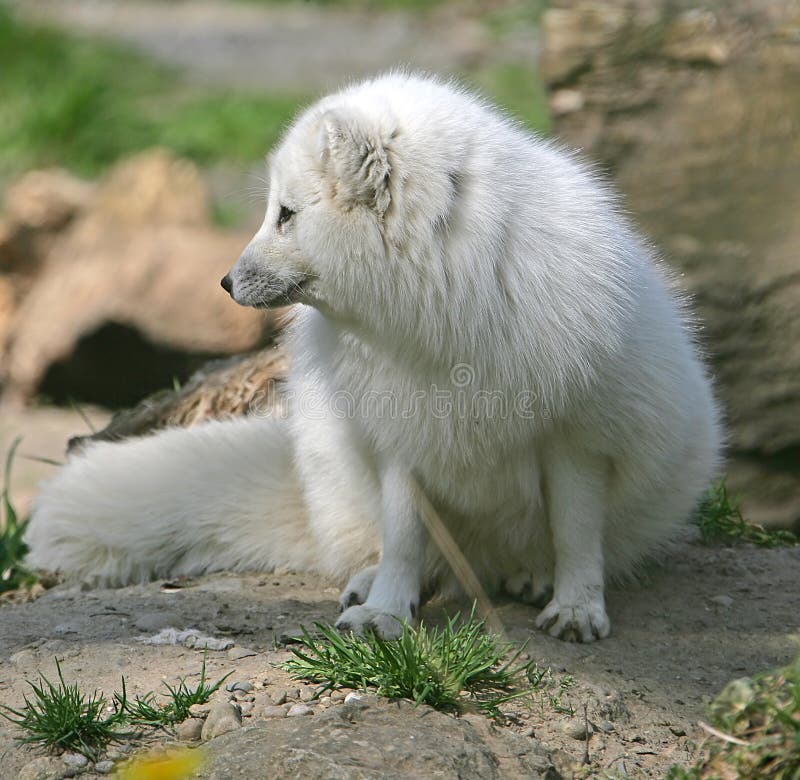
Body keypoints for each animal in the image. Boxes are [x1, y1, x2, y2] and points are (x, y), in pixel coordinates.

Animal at [25, 73, 721, 642]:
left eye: (286, 214)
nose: (223, 283)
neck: (441, 315)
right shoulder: (402, 442)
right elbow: (405, 541)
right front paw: (386, 611)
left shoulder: (576, 440)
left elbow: (575, 533)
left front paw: (577, 608)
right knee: (411, 557)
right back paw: (370, 581)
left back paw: (530, 578)